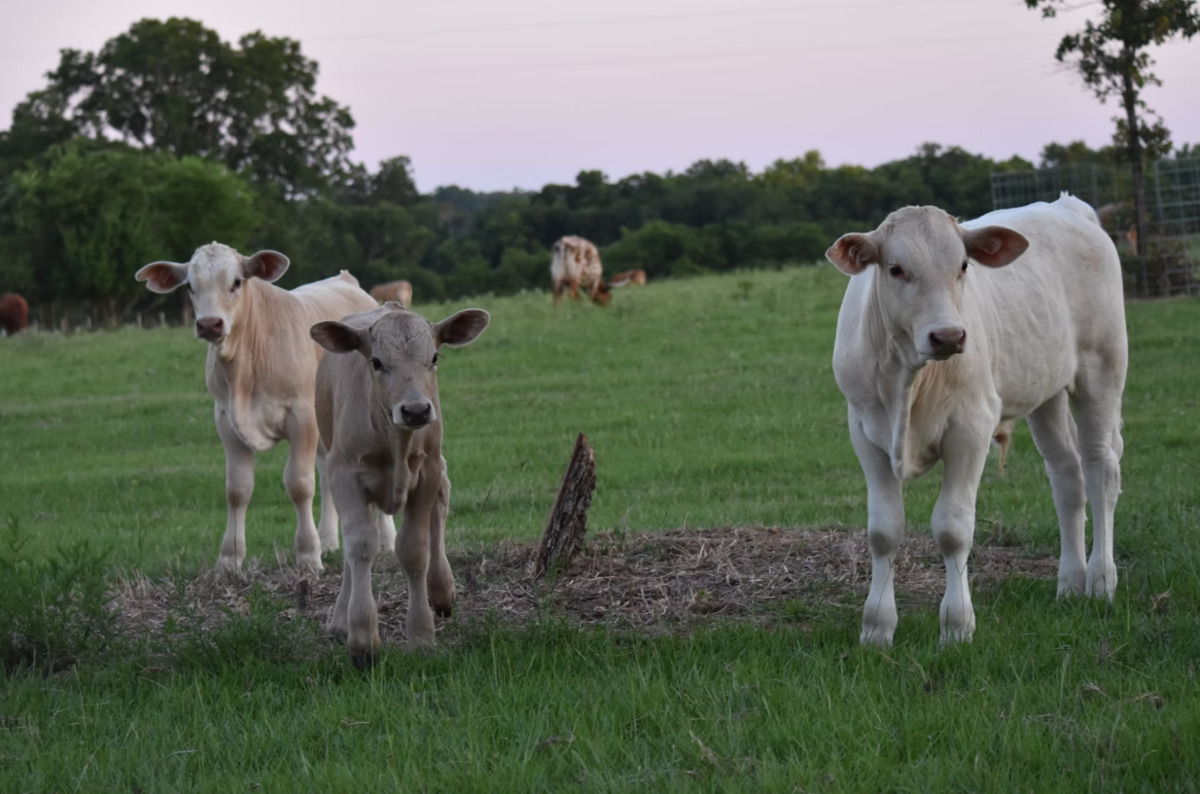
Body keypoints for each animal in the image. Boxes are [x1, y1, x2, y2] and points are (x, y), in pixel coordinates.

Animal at [135, 242, 381, 575]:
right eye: (189, 286)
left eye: (236, 282)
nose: (209, 324)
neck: (245, 367)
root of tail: (347, 281)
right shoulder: (225, 420)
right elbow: (237, 490)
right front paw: (230, 559)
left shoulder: (301, 416)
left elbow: (299, 484)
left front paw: (308, 555)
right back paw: (330, 539)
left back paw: (387, 541)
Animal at [310, 303, 489, 664]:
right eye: (377, 361)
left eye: (434, 357)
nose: (416, 409)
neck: (396, 439)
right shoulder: (343, 474)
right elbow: (360, 545)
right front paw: (362, 636)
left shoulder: (427, 471)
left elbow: (414, 549)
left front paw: (421, 636)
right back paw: (341, 620)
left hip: (435, 464)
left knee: (441, 504)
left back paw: (441, 588)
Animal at [826, 193, 1127, 647]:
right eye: (895, 269)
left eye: (963, 265)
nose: (949, 336)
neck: (908, 378)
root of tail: (1068, 206)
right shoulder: (865, 432)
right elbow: (883, 531)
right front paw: (877, 628)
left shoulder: (971, 428)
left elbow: (953, 528)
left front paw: (956, 626)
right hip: (1047, 392)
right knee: (1067, 476)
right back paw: (1070, 584)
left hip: (1102, 369)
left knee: (1100, 470)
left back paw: (1100, 581)